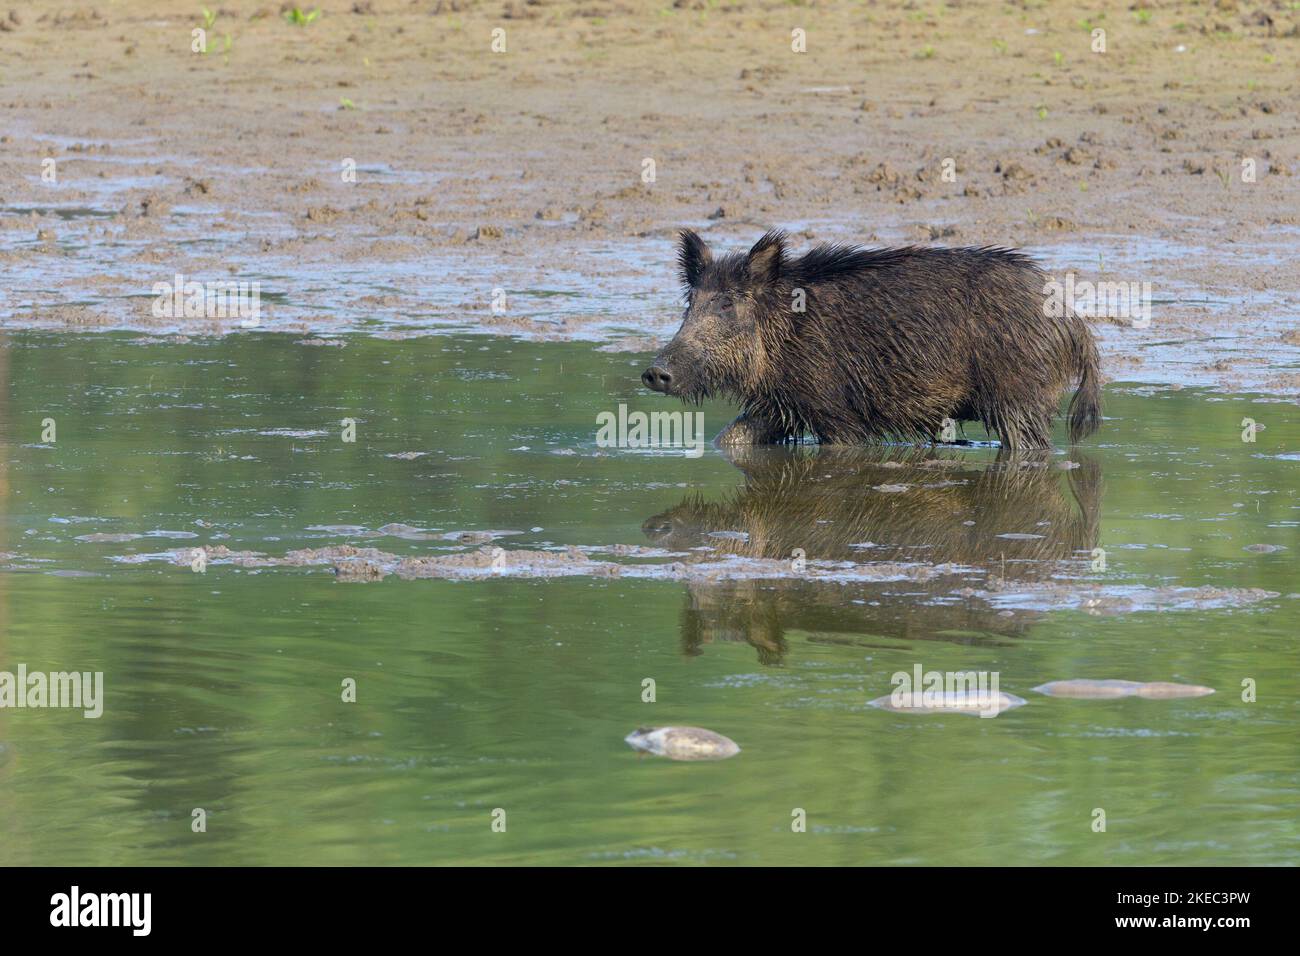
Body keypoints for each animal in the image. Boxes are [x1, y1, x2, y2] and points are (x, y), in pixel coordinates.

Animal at [641, 230, 1101, 450]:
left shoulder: (834, 409)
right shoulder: (779, 404)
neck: (784, 334)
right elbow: (730, 440)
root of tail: (1075, 324)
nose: (654, 373)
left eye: (727, 304)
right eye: (690, 302)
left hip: (1018, 396)